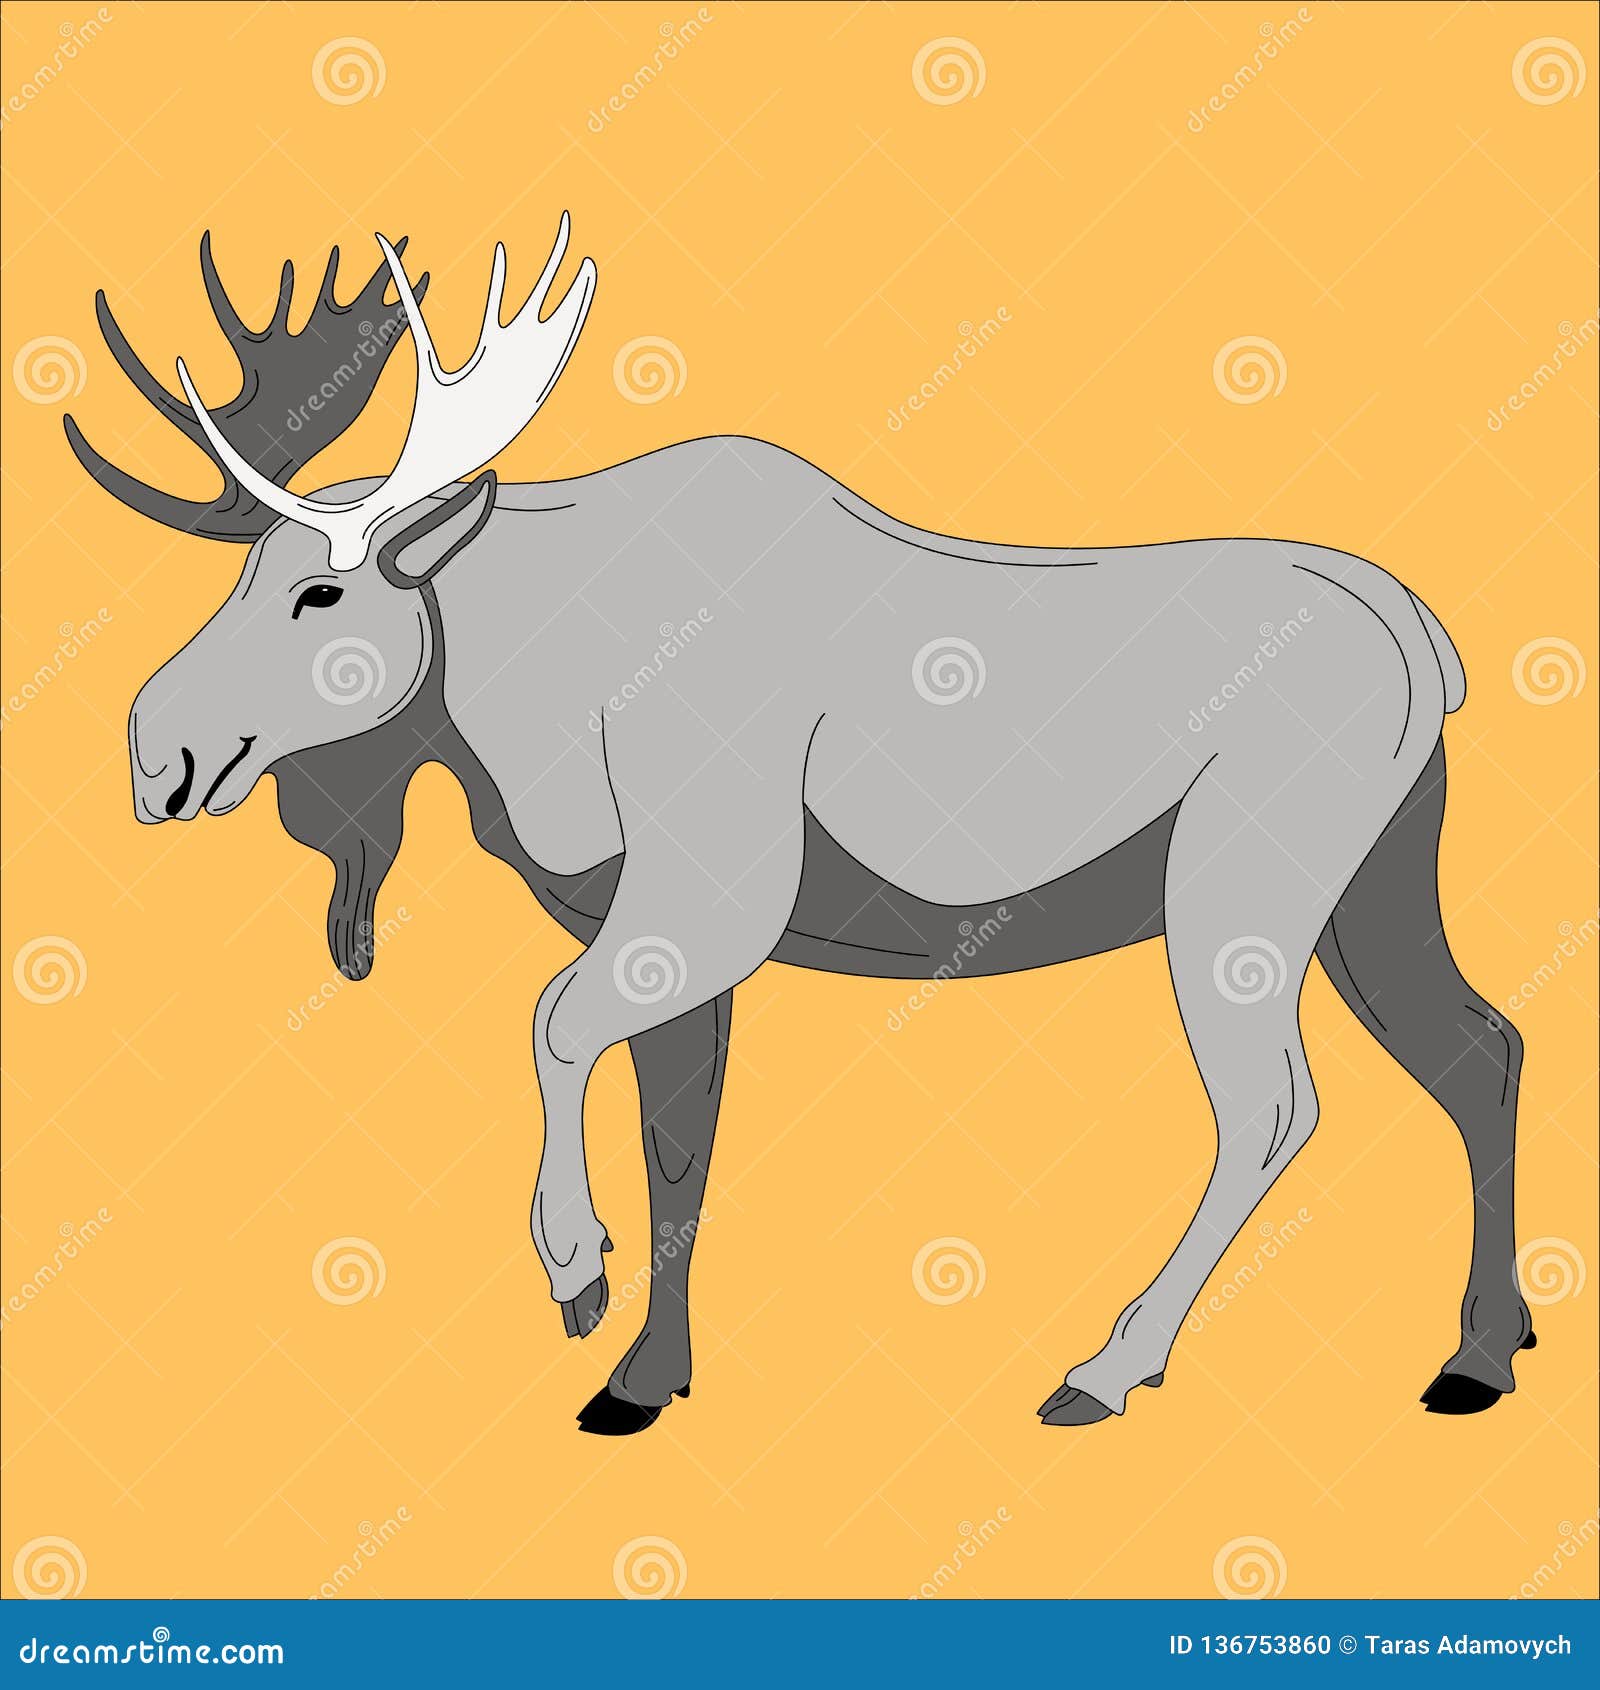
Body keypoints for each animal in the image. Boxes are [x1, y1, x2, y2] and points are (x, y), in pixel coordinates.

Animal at [69, 215, 1534, 1436]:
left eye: (319, 593)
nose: (153, 753)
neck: (527, 704)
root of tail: (1432, 643)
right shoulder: (674, 935)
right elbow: (679, 1153)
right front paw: (647, 1376)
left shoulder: (709, 897)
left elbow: (551, 1026)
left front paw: (573, 1269)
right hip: (1369, 888)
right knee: (1481, 1046)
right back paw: (1481, 1349)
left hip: (1240, 889)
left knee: (1273, 1106)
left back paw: (1107, 1366)